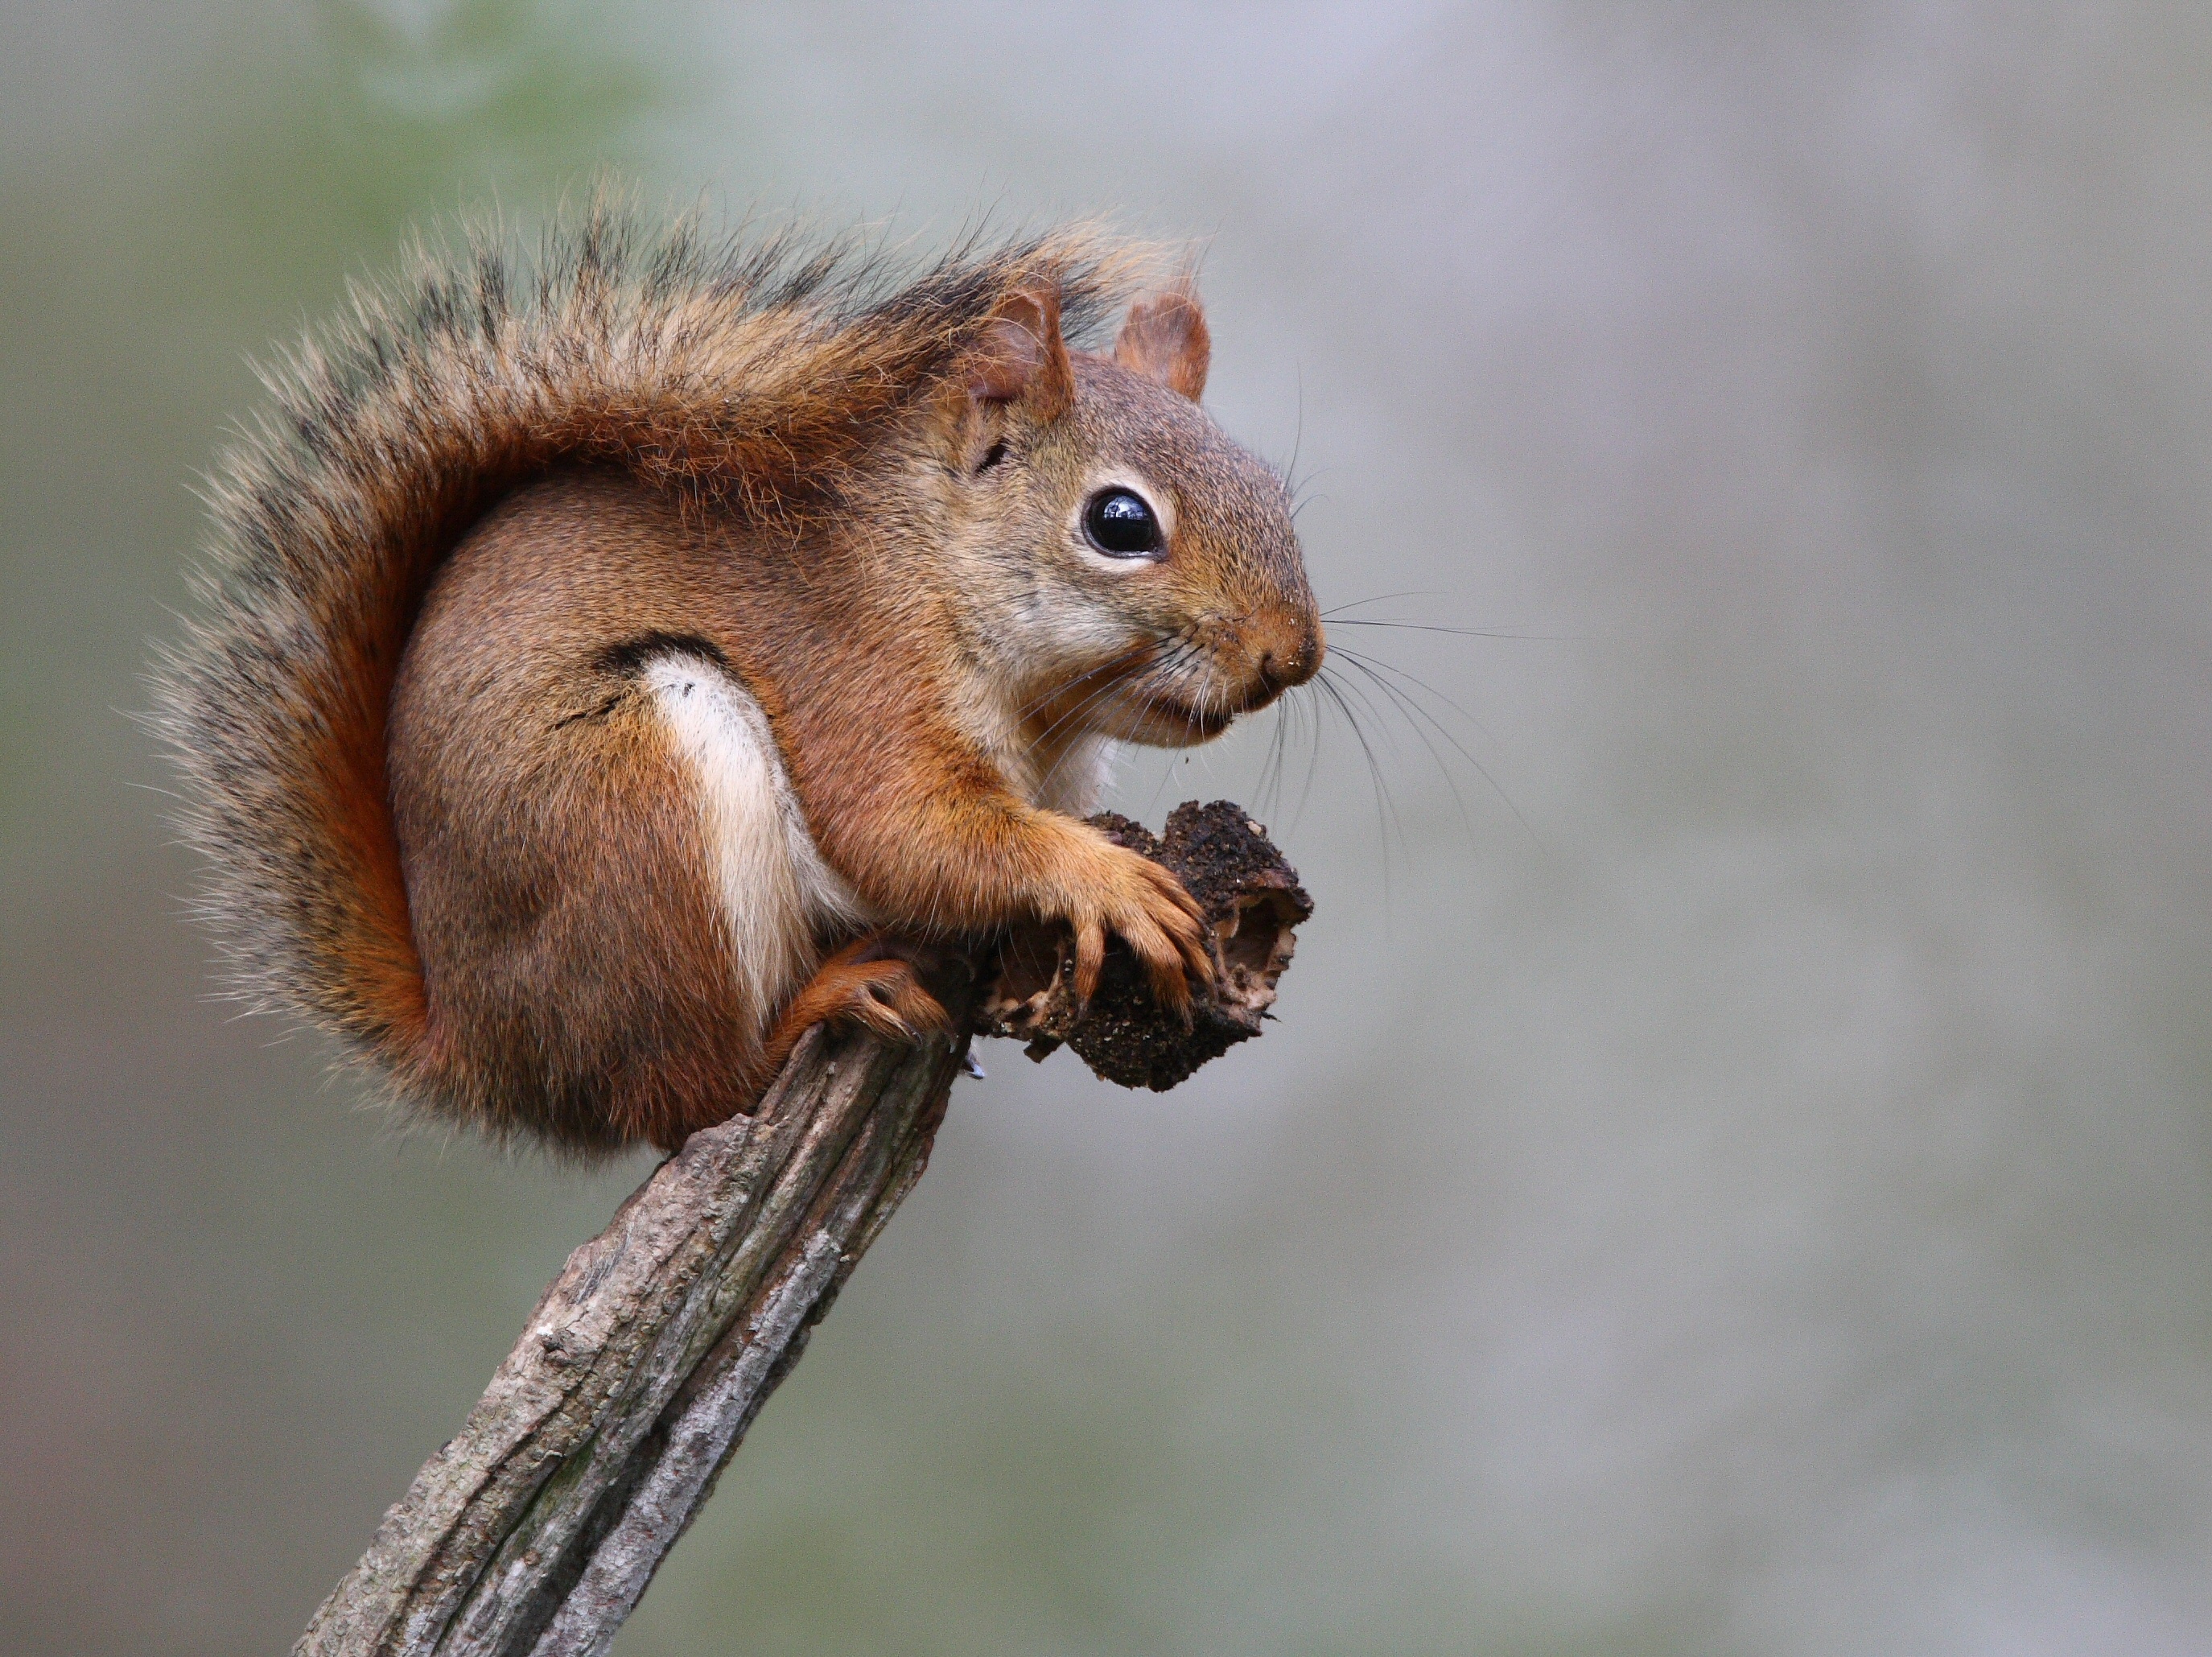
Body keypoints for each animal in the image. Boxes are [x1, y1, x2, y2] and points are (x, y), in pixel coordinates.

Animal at [153, 204, 1323, 1155]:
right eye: (1119, 522)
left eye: (1269, 488)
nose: (1291, 656)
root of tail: (482, 1046)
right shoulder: (855, 668)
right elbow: (908, 833)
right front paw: (1107, 881)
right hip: (636, 809)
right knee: (687, 1095)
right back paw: (829, 999)